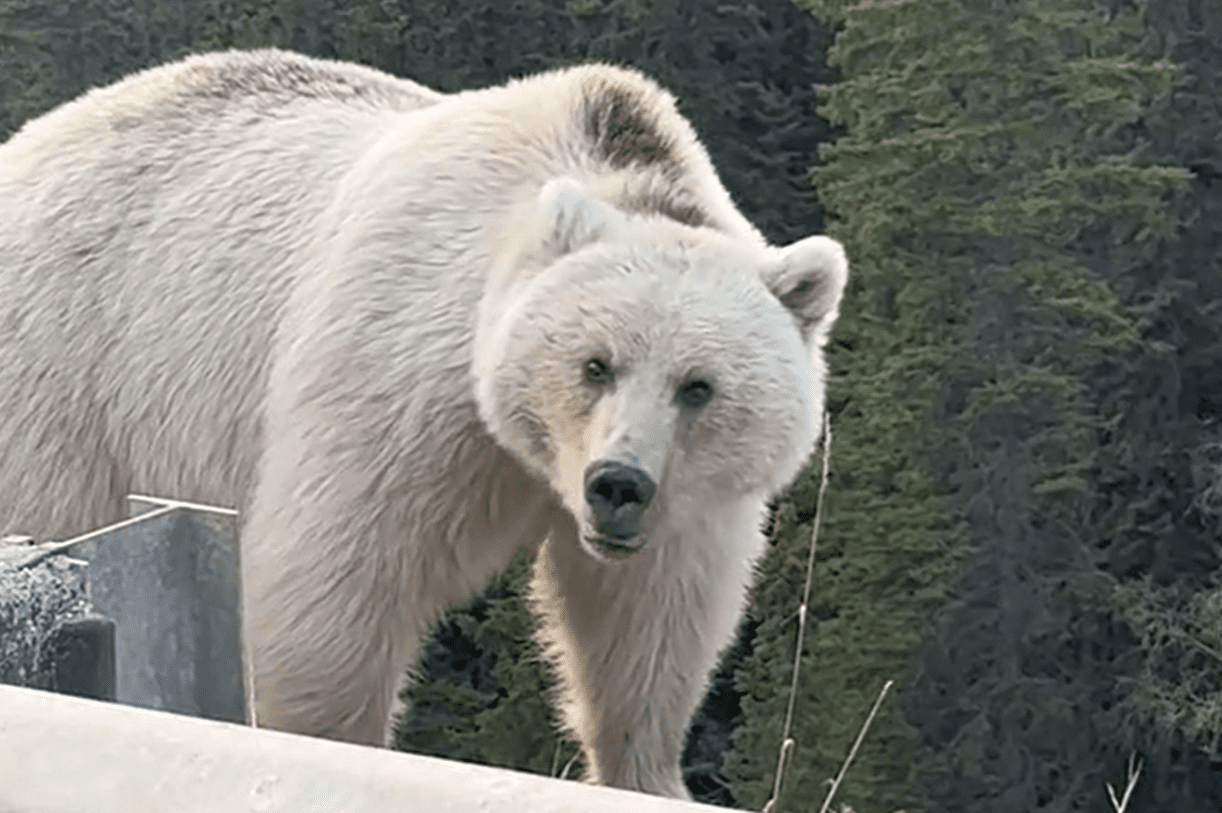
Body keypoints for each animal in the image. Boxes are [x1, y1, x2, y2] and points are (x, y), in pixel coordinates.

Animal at [0, 48, 847, 799]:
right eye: (595, 363)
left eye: (698, 385)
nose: (617, 484)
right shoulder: (402, 384)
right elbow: (331, 583)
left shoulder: (687, 505)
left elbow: (649, 629)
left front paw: (650, 773)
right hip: (68, 372)